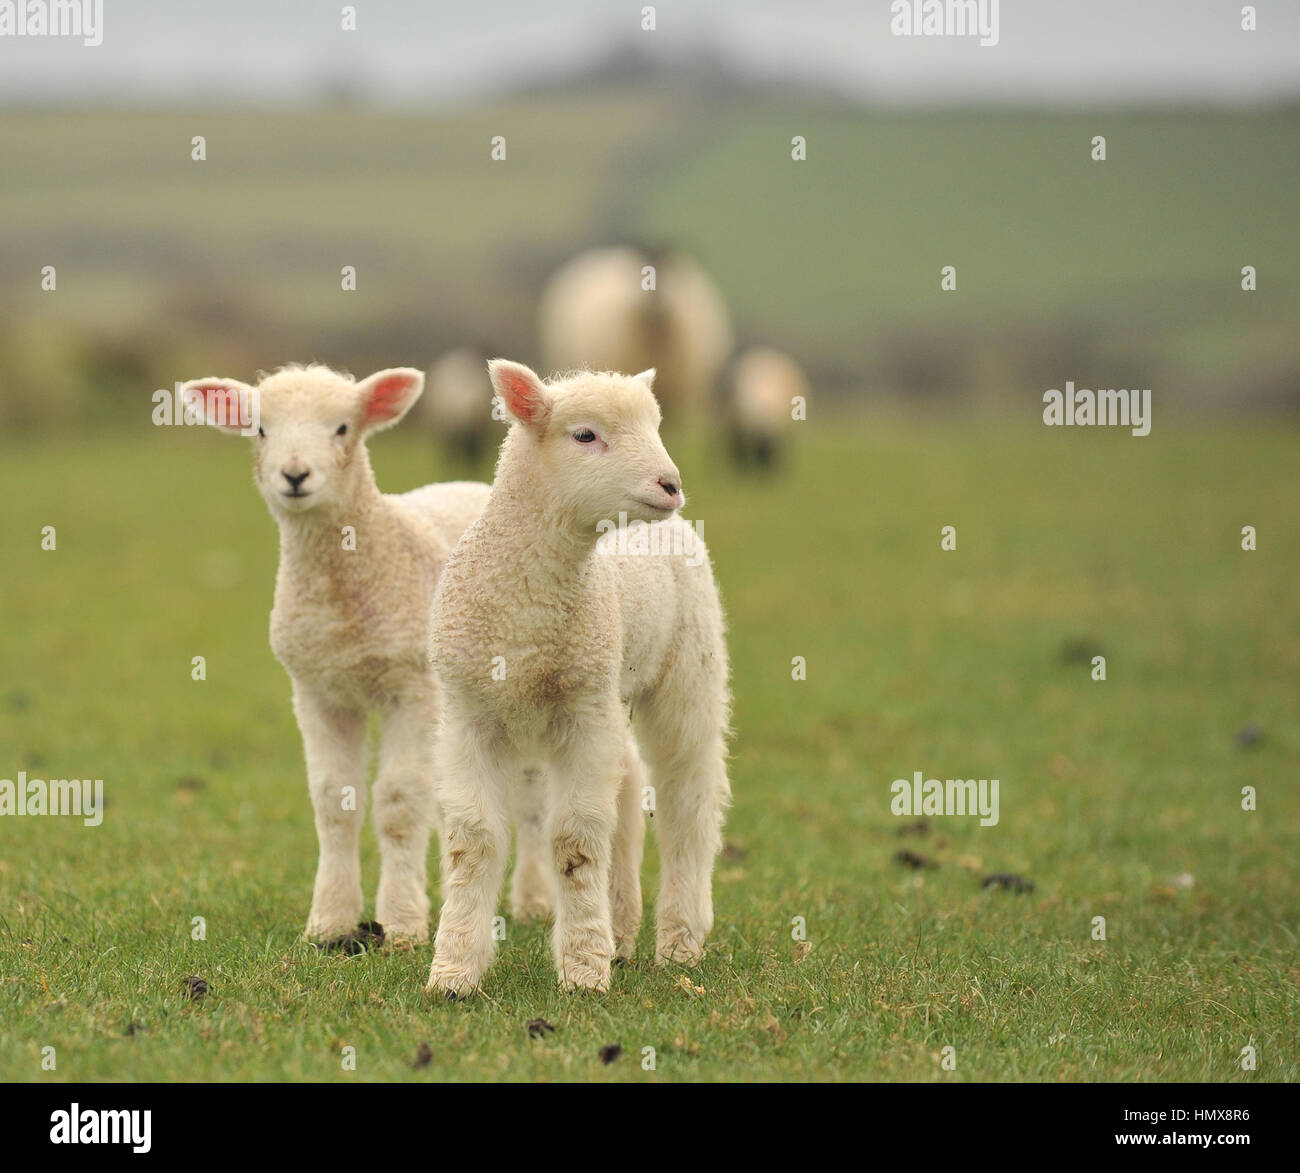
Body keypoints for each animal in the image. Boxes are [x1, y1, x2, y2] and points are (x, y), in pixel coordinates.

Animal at [181, 363, 498, 945]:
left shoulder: (411, 687)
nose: (295, 475)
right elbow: (333, 801)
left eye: (343, 428)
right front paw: (330, 921)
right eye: (259, 429)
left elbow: (399, 802)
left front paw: (401, 923)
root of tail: (473, 484)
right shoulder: (316, 691)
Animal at [424, 359, 732, 996]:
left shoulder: (582, 713)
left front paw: (584, 968)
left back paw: (679, 941)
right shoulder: (468, 713)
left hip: (687, 671)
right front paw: (454, 970)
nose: (670, 484)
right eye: (585, 435)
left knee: (687, 800)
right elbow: (473, 841)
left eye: (655, 426)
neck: (528, 610)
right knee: (629, 785)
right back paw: (623, 928)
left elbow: (573, 842)